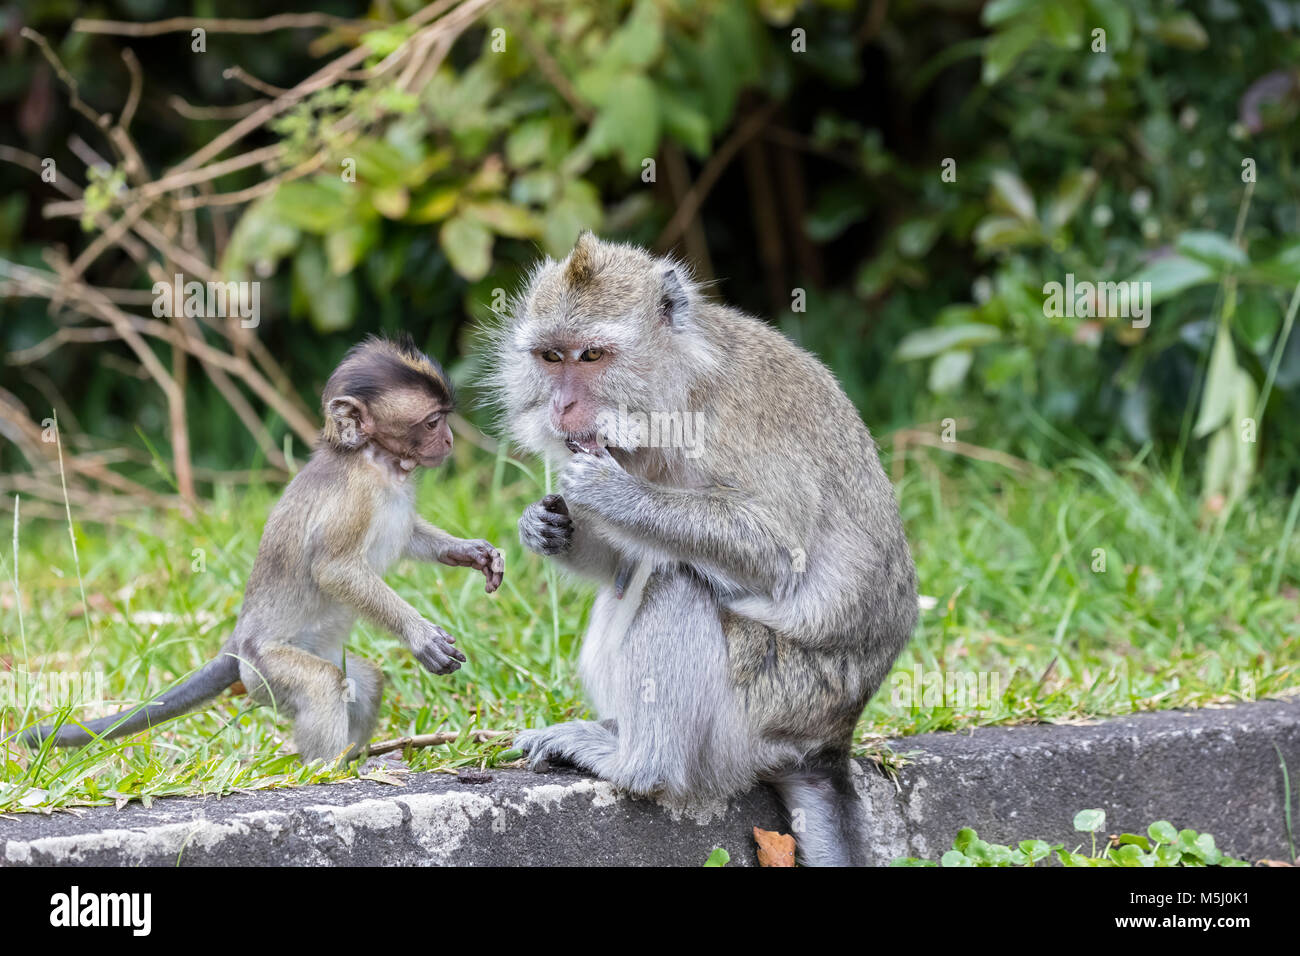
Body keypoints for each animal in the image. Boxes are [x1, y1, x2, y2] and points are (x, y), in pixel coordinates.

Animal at [22, 335, 504, 764]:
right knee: (323, 682)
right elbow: (335, 569)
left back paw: (350, 758)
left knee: (363, 679)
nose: (450, 441)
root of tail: (239, 641)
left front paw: (473, 552)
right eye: (432, 422)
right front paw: (421, 636)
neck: (374, 460)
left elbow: (408, 539)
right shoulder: (354, 498)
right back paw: (325, 769)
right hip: (264, 671)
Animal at [488, 232, 917, 866]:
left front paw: (614, 493)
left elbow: (777, 553)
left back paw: (639, 764)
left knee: (678, 581)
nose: (561, 407)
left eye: (591, 356)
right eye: (550, 357)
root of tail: (828, 741)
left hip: (760, 711)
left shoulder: (731, 427)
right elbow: (618, 561)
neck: (678, 390)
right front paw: (542, 526)